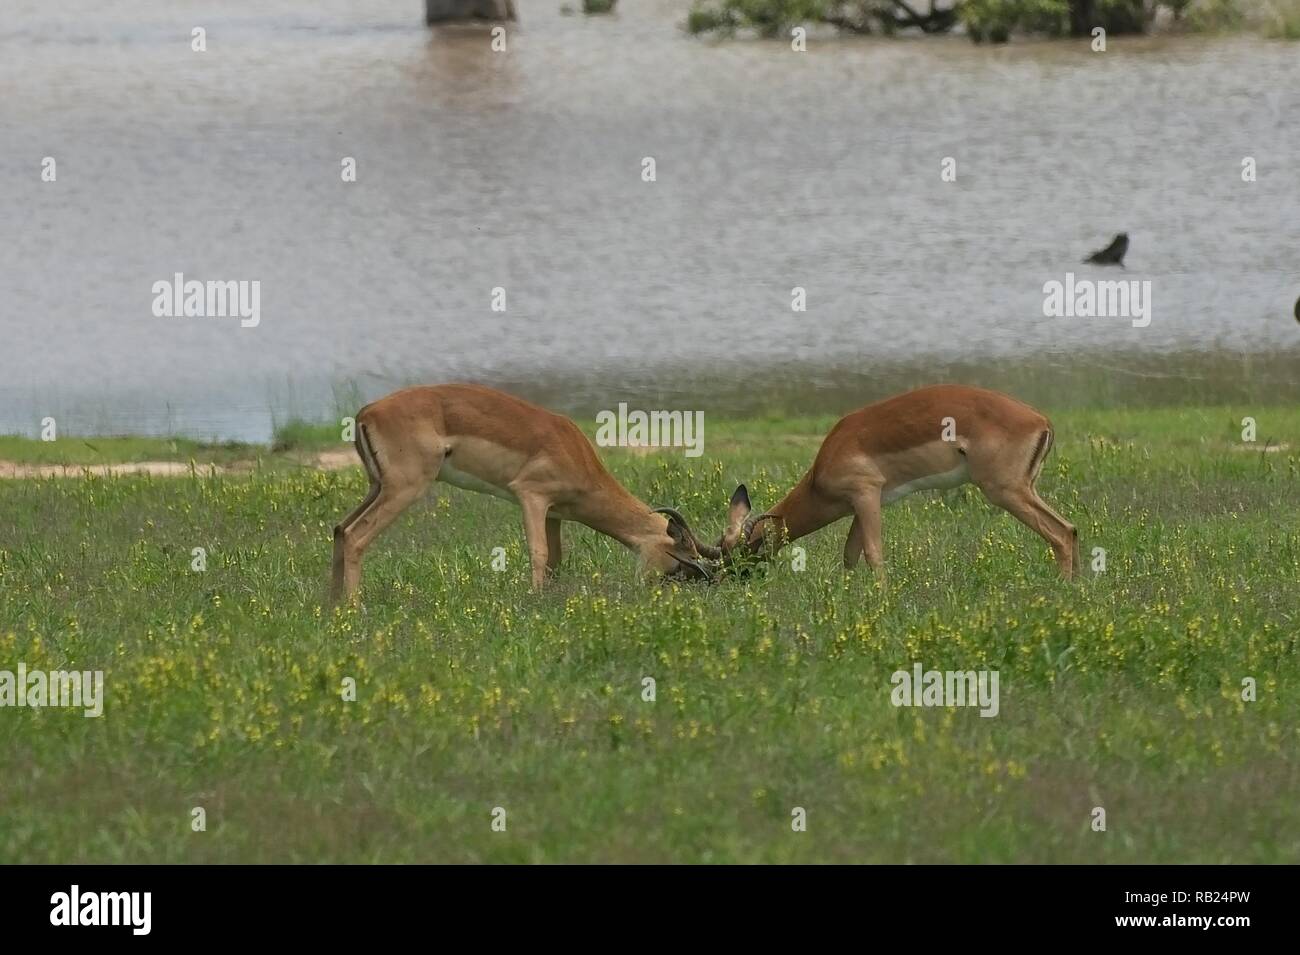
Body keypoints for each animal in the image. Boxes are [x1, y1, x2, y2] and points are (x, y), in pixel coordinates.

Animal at [329, 384, 714, 602]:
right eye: (681, 557)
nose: (657, 592)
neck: (576, 453)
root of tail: (367, 411)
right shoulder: (531, 496)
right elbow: (539, 553)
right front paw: (535, 600)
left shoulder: (555, 513)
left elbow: (557, 559)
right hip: (404, 488)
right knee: (356, 535)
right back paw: (353, 607)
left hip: (377, 487)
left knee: (339, 529)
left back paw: (332, 606)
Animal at [700, 385, 1080, 578]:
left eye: (739, 557)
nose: (726, 583)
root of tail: (1041, 420)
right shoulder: (865, 503)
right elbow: (850, 555)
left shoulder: (865, 494)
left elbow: (873, 553)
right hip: (1024, 489)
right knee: (1071, 529)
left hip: (1004, 491)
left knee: (1060, 533)